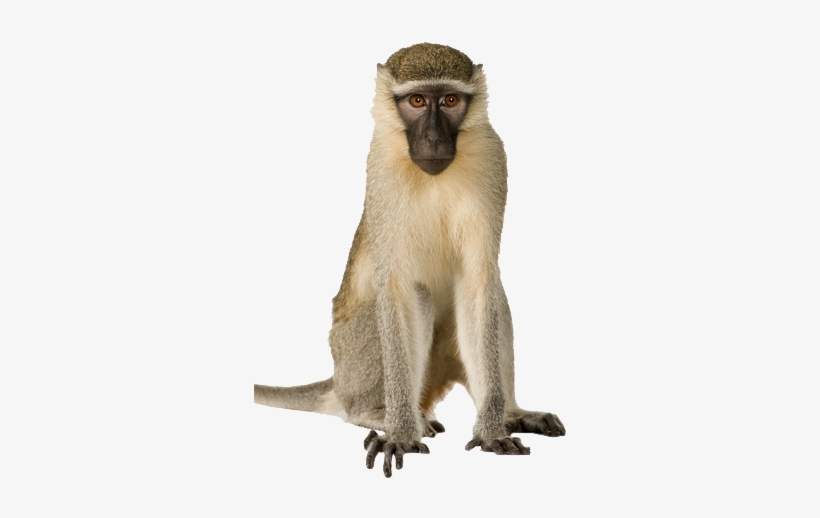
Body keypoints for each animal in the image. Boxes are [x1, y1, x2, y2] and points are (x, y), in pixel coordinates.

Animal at [254, 43, 565, 478]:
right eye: (416, 101)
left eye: (450, 101)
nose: (433, 137)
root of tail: (338, 380)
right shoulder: (379, 169)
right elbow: (399, 292)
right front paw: (400, 434)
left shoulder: (493, 158)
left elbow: (479, 284)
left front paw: (491, 430)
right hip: (353, 358)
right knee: (416, 301)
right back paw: (380, 414)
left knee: (494, 296)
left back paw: (511, 412)